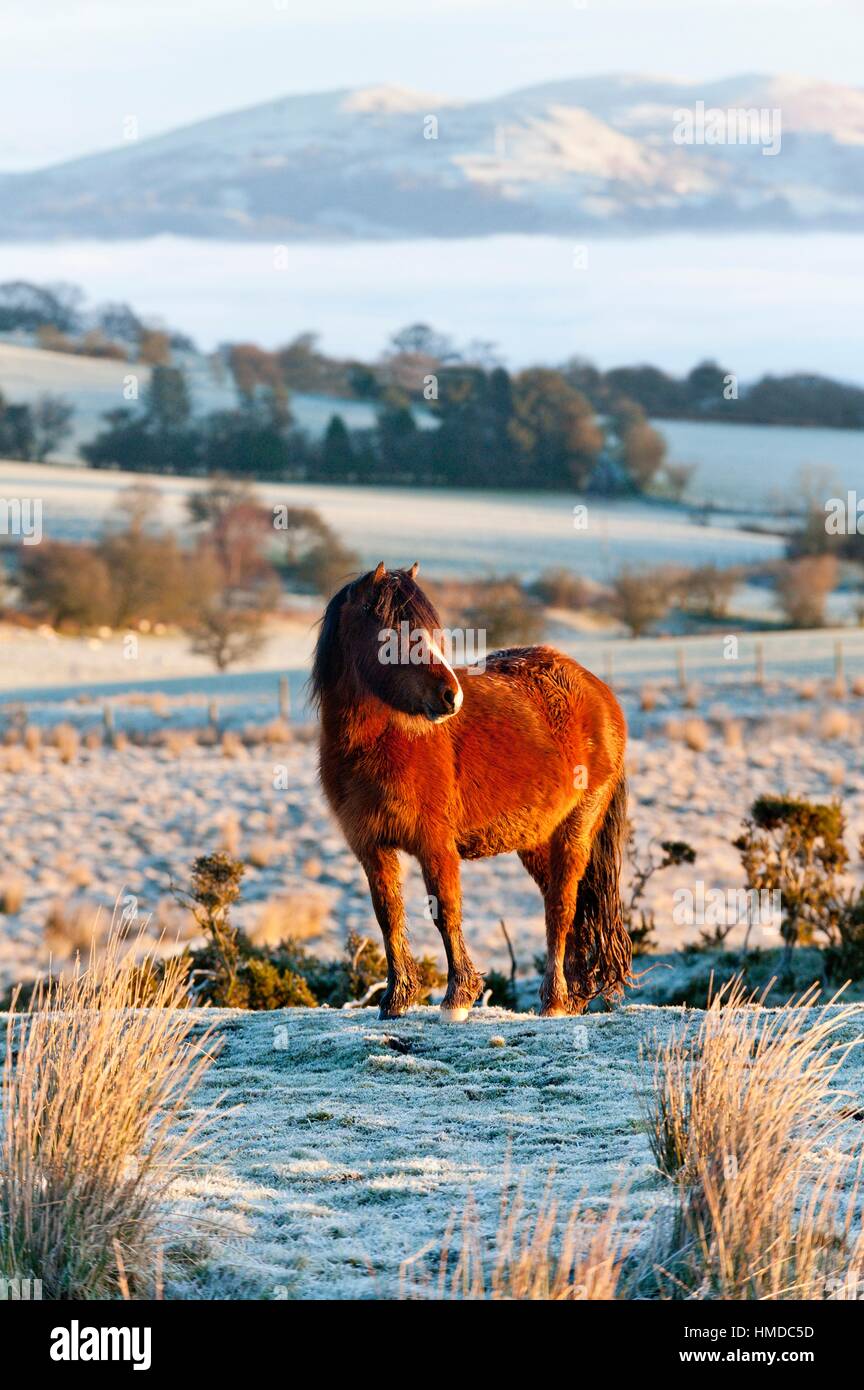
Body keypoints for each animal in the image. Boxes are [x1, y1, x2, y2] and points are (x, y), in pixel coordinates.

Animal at [311, 561, 631, 1021]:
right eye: (394, 635)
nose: (451, 697)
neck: (383, 739)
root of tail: (598, 690)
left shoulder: (435, 844)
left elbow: (445, 910)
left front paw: (457, 999)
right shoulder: (371, 847)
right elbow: (388, 915)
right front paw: (396, 1000)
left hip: (576, 829)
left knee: (561, 907)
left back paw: (554, 1001)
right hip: (536, 840)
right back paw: (571, 998)